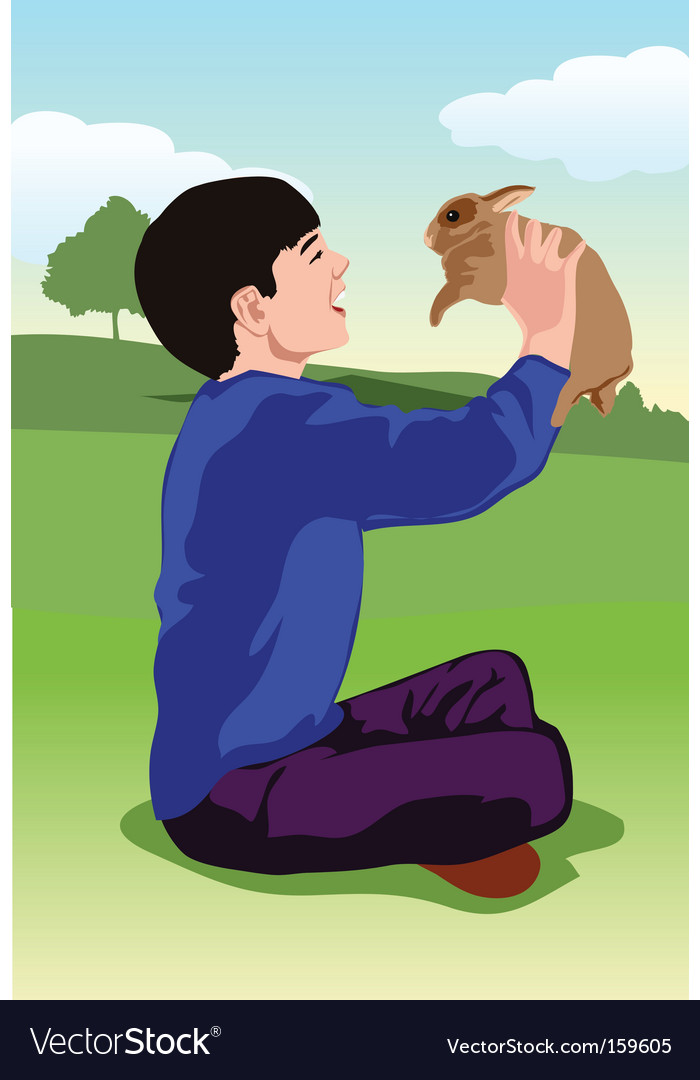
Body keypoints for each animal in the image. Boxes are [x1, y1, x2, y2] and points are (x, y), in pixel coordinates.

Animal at [424, 186, 633, 427]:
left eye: (453, 215)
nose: (427, 238)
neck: (481, 229)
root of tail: (626, 363)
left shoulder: (478, 284)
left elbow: (448, 294)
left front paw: (434, 319)